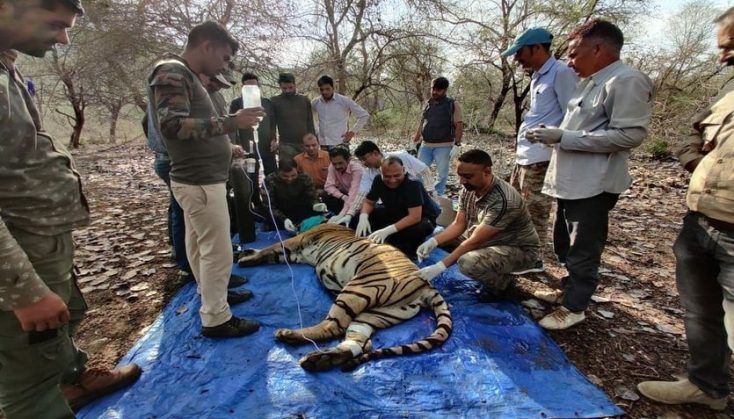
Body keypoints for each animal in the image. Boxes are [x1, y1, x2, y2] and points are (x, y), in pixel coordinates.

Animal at [237, 223, 453, 372]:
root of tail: (426, 285)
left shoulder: (297, 241)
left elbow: (271, 247)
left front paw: (246, 259)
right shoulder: (294, 253)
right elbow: (270, 252)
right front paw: (246, 253)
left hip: (358, 288)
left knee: (334, 326)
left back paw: (288, 335)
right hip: (377, 313)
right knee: (360, 343)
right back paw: (320, 360)